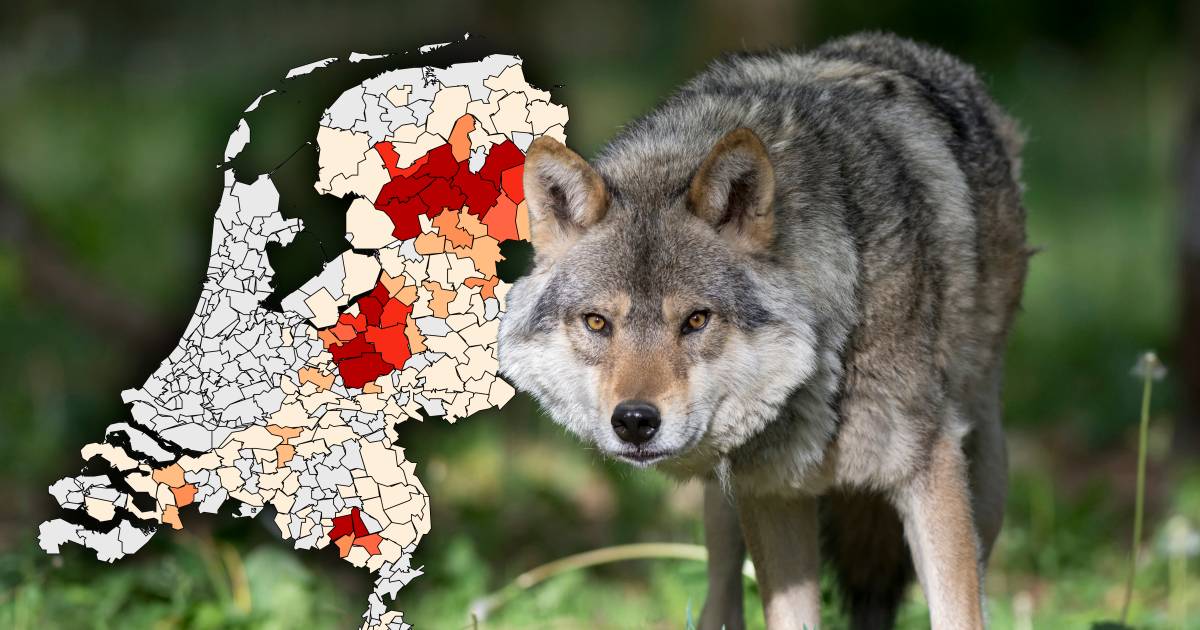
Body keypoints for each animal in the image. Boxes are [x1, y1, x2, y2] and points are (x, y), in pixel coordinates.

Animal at [498, 32, 1028, 630]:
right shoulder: (771, 495)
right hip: (722, 511)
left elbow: (957, 612)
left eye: (696, 320)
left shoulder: (928, 472)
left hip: (986, 480)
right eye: (597, 322)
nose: (634, 422)